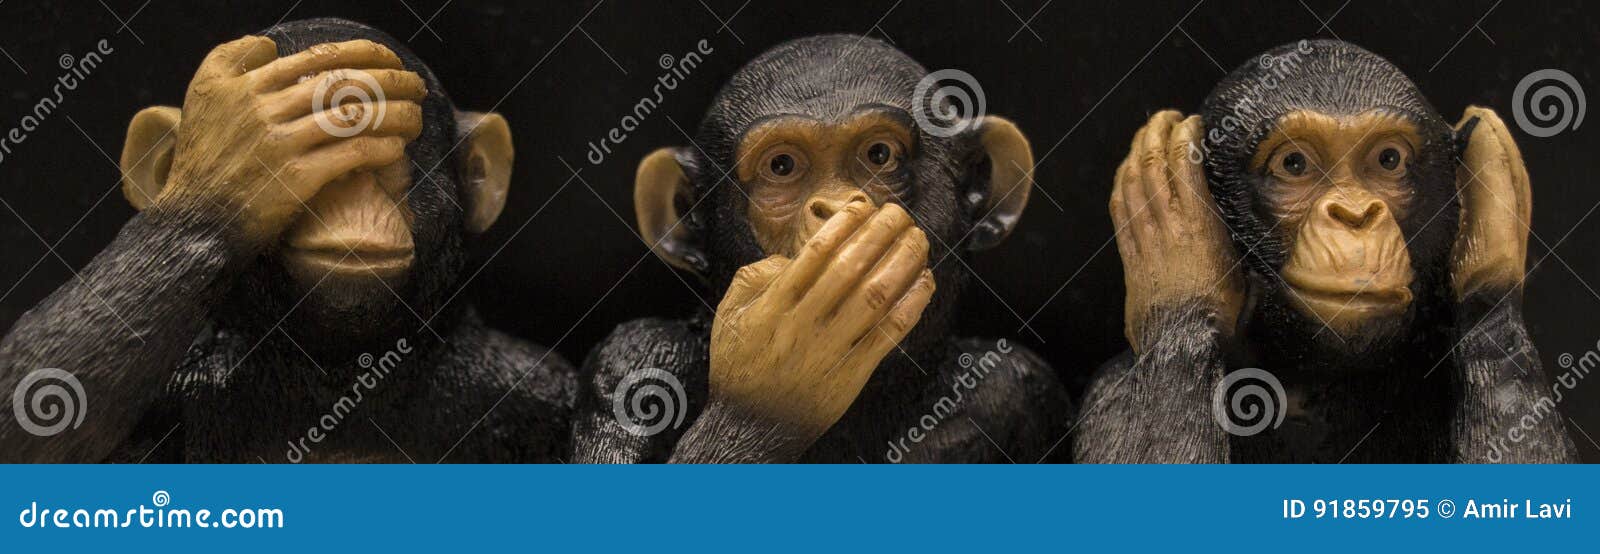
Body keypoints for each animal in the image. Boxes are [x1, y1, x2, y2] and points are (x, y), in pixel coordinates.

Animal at [0, 19, 574, 463]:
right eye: (314, 155)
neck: (335, 374)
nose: (351, 195)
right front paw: (233, 147)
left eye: (387, 157)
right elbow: (26, 402)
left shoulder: (541, 390)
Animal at [569, 35, 1076, 464]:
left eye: (878, 155)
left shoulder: (1022, 387)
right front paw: (771, 392)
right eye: (782, 165)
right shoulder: (637, 360)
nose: (835, 207)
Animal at [1075, 40, 1578, 463]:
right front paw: (1183, 277)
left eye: (1389, 159)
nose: (1354, 214)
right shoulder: (1109, 399)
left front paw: (1489, 277)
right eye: (1294, 163)